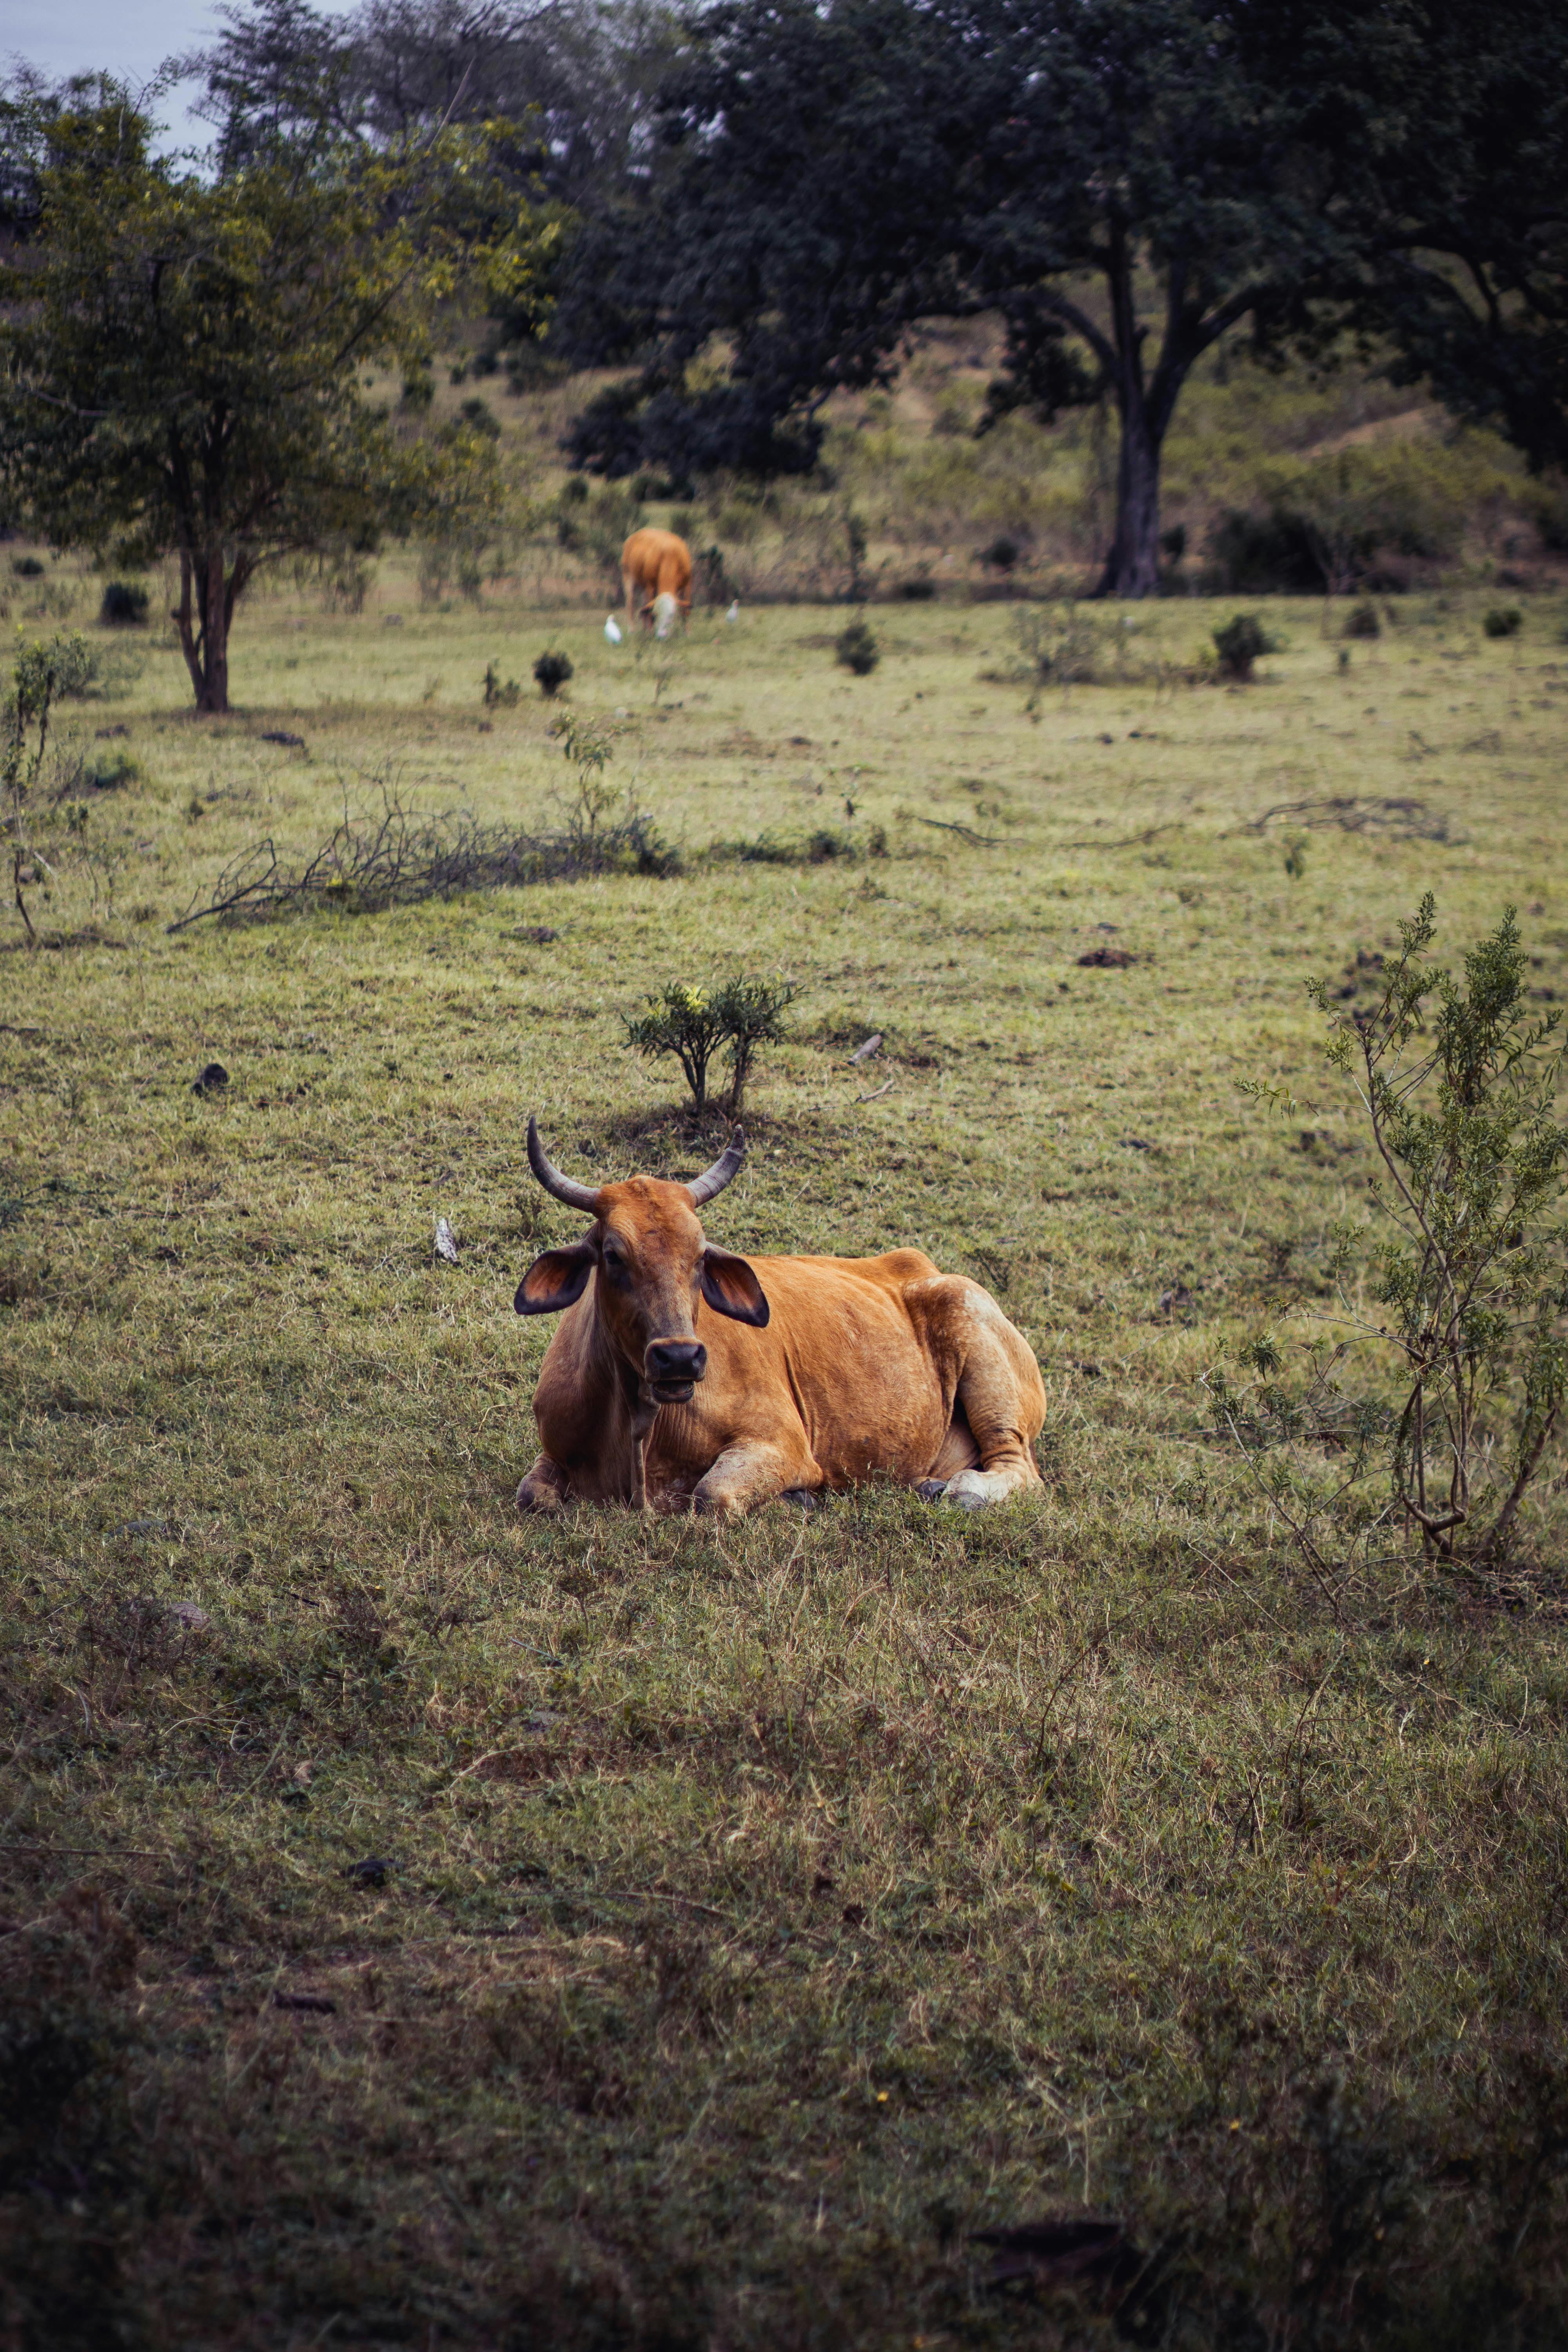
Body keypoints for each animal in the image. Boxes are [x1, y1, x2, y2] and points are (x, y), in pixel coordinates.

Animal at [513, 1119, 1047, 1517]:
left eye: (700, 1256)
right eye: (613, 1255)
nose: (679, 1358)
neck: (640, 1432)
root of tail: (928, 1270)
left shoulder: (782, 1445)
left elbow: (712, 1495)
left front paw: (800, 1498)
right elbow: (534, 1497)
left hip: (985, 1361)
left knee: (1021, 1470)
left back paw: (961, 1490)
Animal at [620, 528, 693, 638]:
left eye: (671, 615)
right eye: (657, 615)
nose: (662, 635)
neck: (670, 554)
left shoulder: (688, 584)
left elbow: (686, 610)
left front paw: (687, 633)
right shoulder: (650, 586)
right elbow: (649, 613)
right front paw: (650, 633)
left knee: (644, 607)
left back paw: (644, 629)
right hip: (628, 576)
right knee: (631, 603)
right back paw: (634, 630)